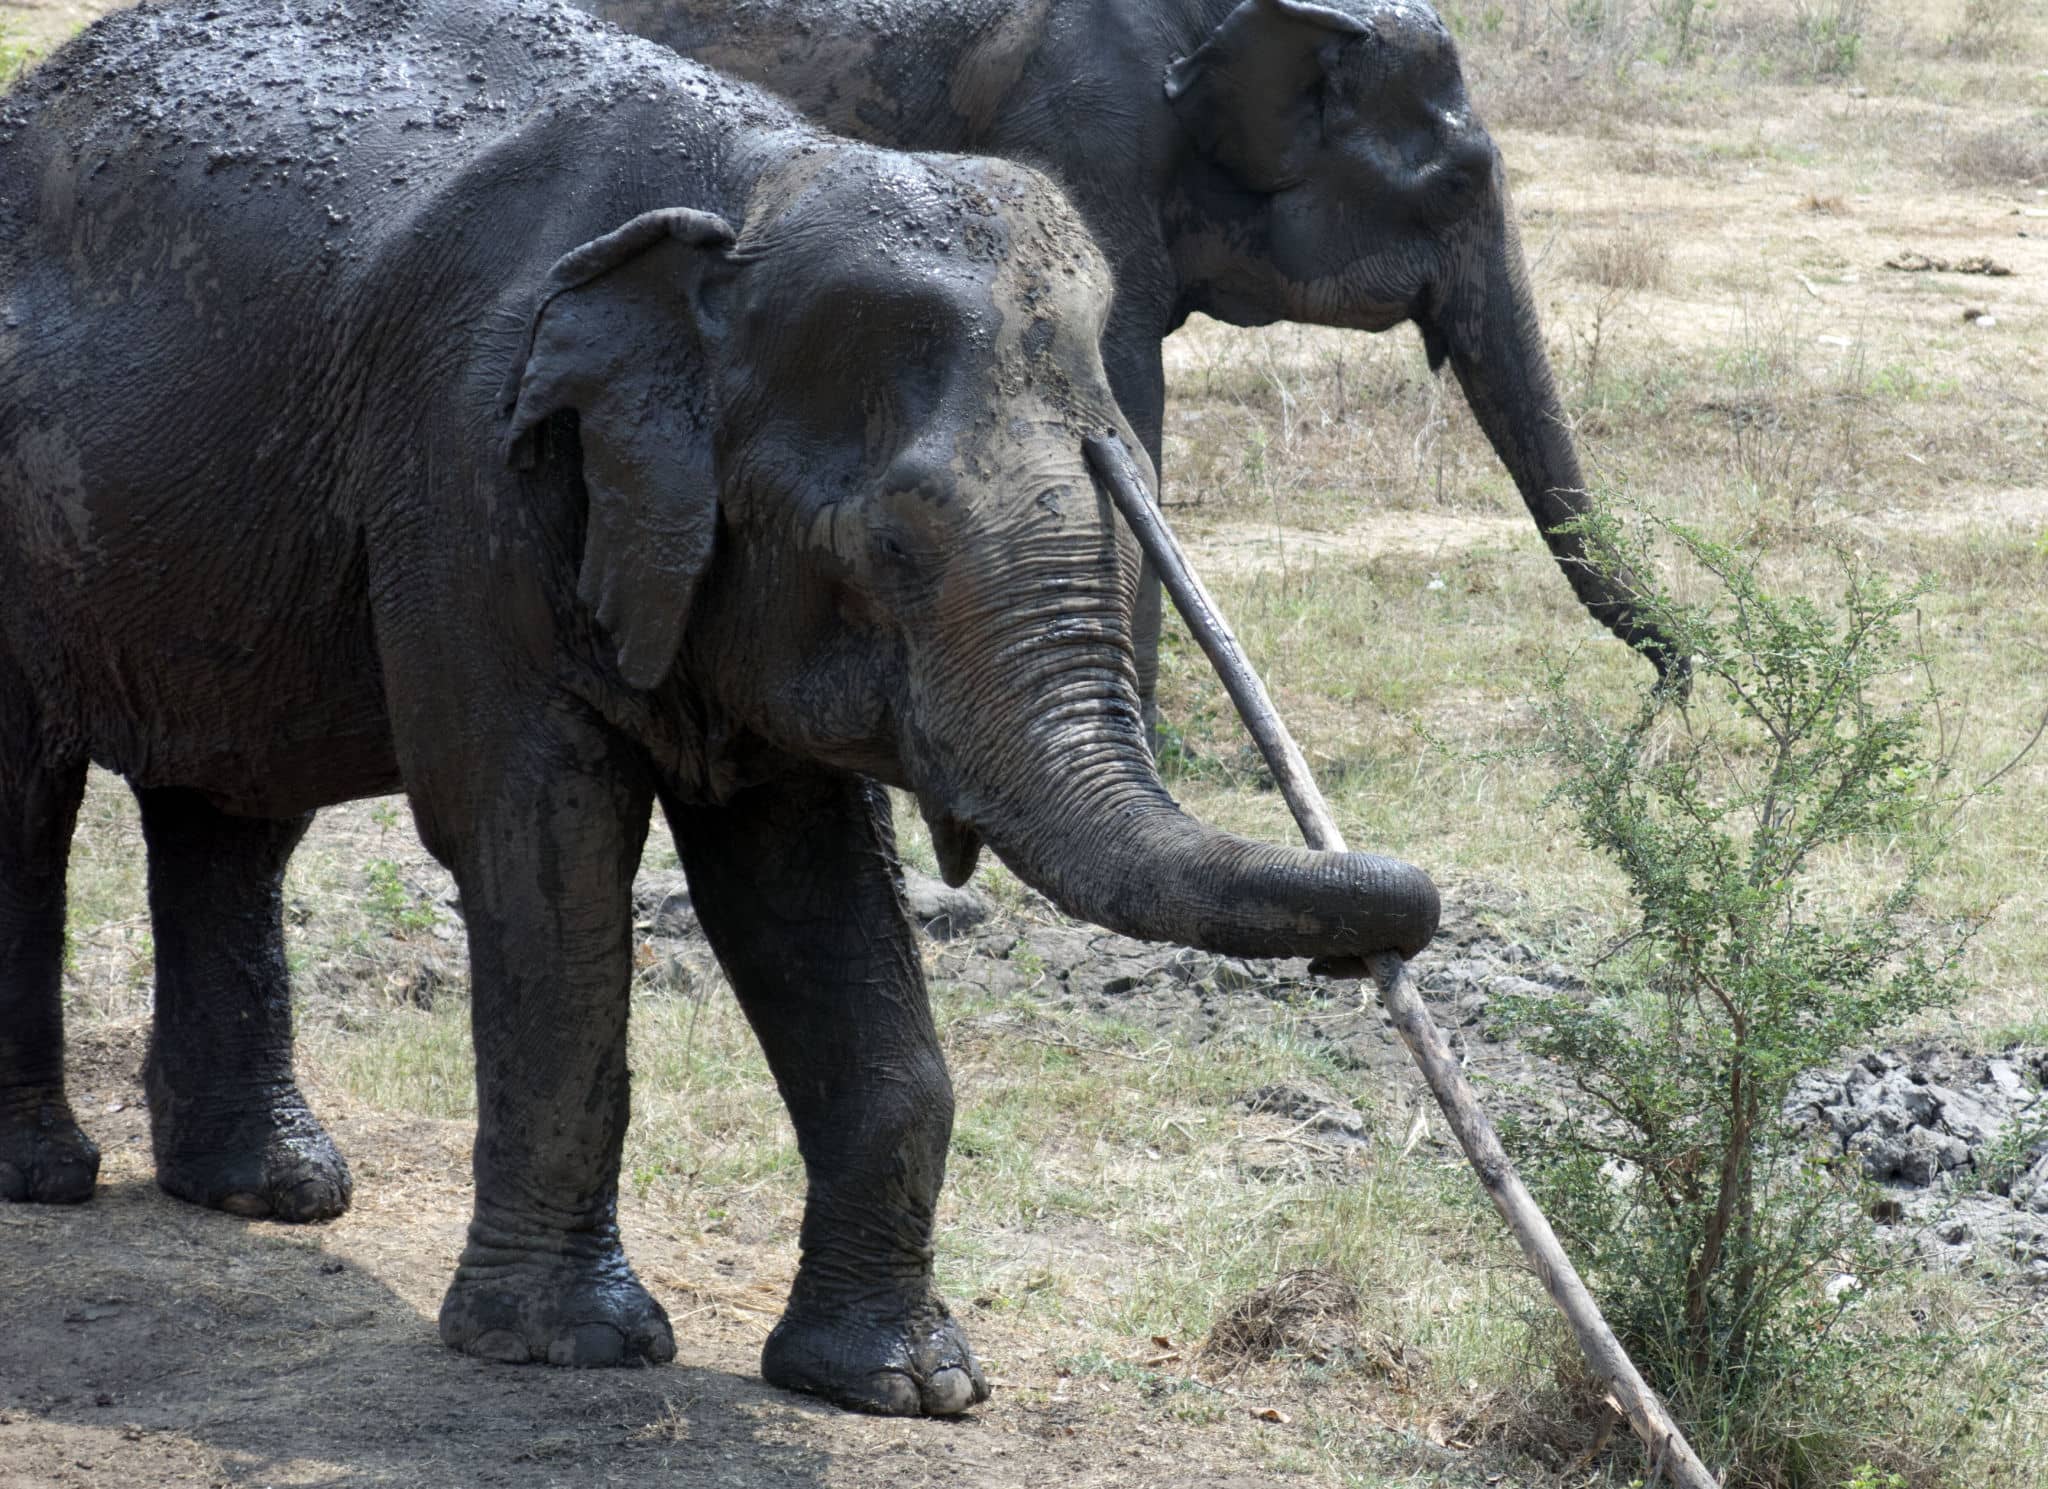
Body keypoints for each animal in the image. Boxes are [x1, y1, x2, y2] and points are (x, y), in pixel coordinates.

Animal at [0, 0, 1439, 1416]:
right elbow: (540, 847)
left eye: (1127, 478)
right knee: (31, 802)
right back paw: (51, 1180)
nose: (1373, 944)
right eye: (893, 548)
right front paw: (566, 1348)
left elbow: (804, 882)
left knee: (231, 812)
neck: (747, 193)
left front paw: (903, 1386)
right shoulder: (466, 474)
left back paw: (275, 1192)